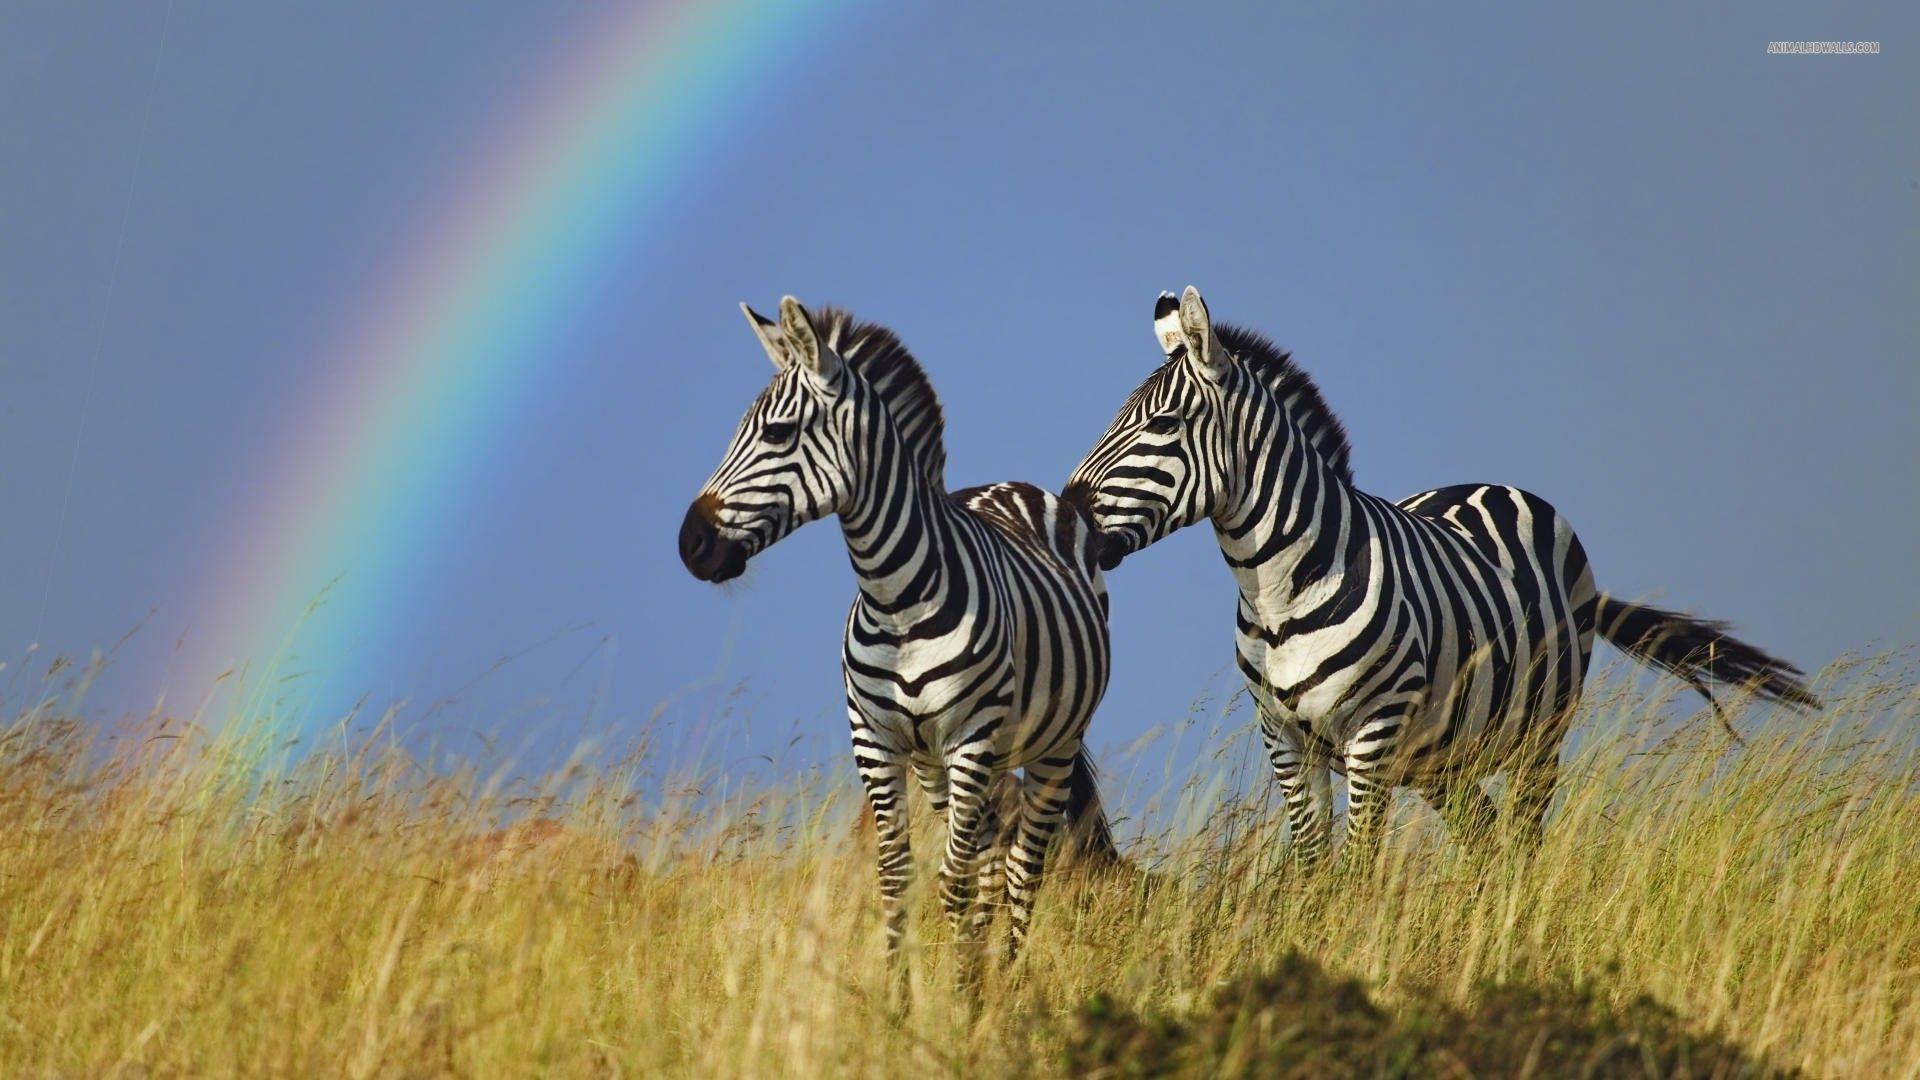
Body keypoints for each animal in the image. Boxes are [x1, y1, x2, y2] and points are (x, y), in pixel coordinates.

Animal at [678, 296, 1119, 994]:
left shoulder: (970, 736)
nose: (689, 544)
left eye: (777, 434)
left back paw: (1003, 984)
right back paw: (980, 973)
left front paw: (959, 1001)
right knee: (990, 859)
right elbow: (897, 877)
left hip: (1050, 745)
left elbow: (954, 880)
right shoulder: (878, 742)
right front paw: (899, 999)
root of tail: (1013, 486)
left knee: (1021, 868)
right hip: (948, 764)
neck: (896, 598)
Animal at [1062, 286, 1818, 866]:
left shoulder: (1371, 732)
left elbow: (1357, 871)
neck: (1276, 589)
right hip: (1441, 756)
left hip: (1541, 733)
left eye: (1162, 424)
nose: (1067, 509)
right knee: (1483, 840)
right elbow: (1311, 870)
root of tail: (1489, 484)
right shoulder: (1285, 739)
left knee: (1522, 842)